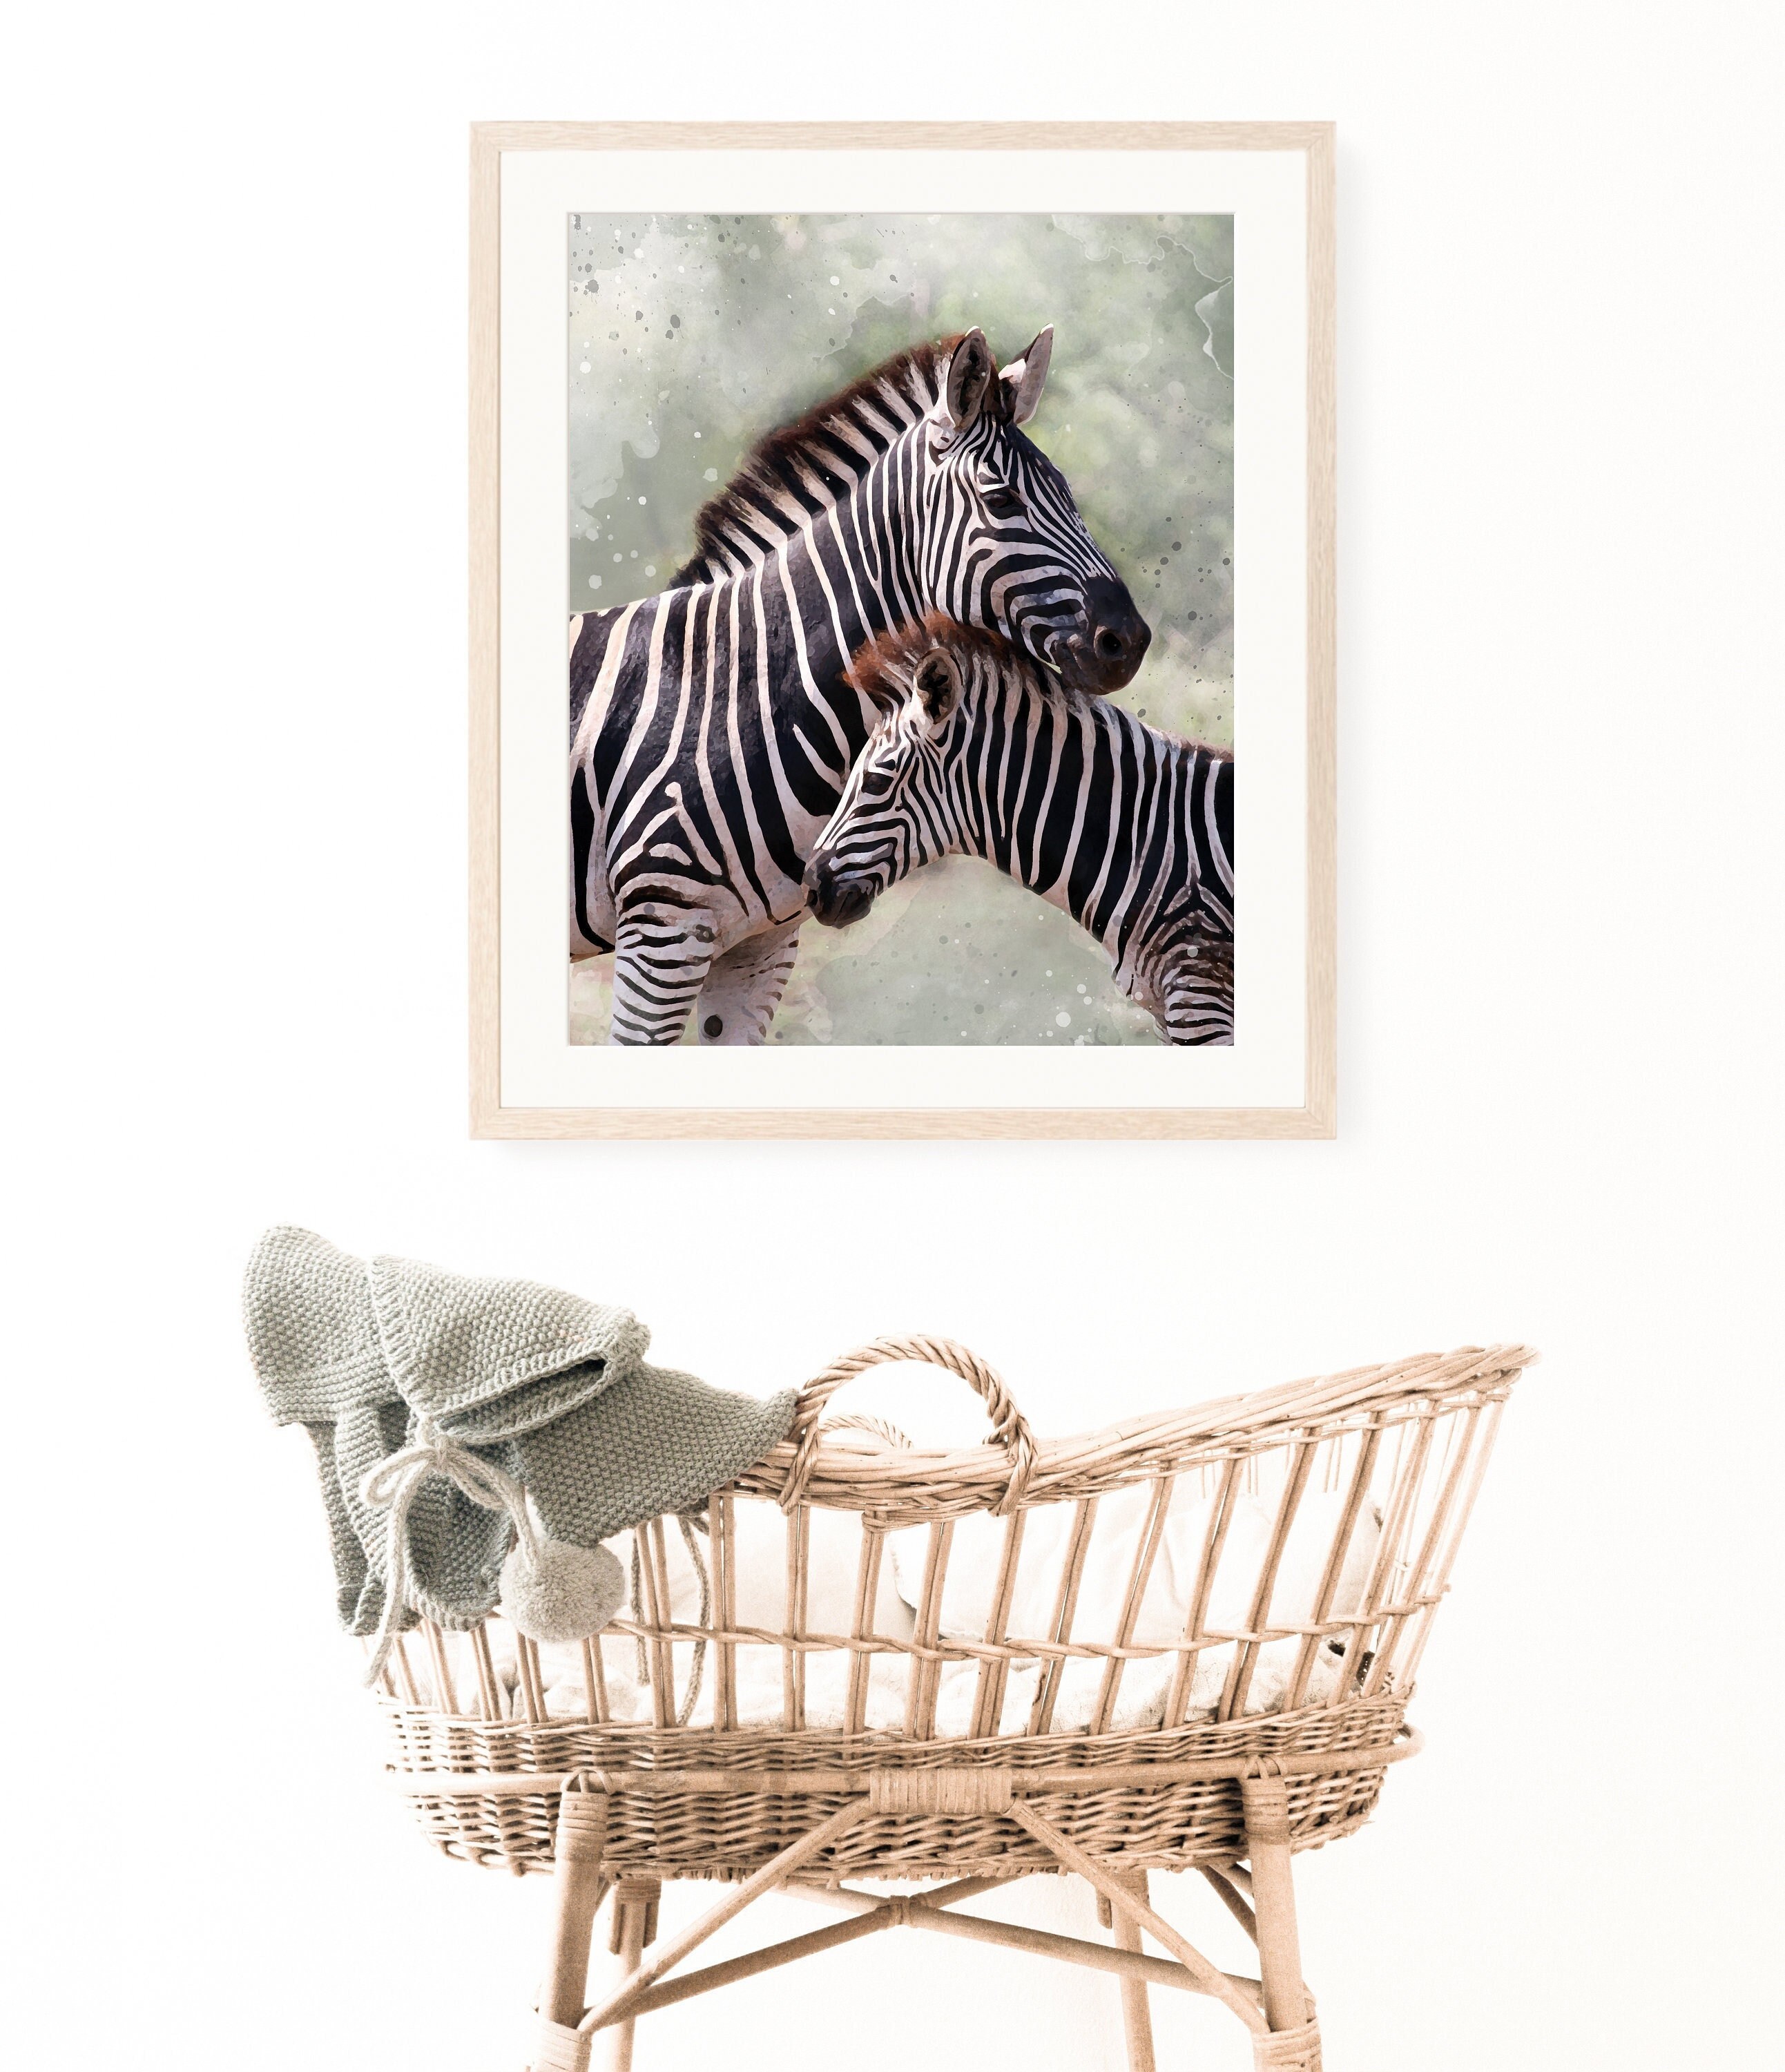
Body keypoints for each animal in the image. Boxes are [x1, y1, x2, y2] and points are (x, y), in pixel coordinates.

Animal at [569, 327, 1149, 1046]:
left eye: (1069, 494)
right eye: (1002, 502)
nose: (1129, 641)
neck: (745, 694)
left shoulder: (759, 946)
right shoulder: (662, 929)